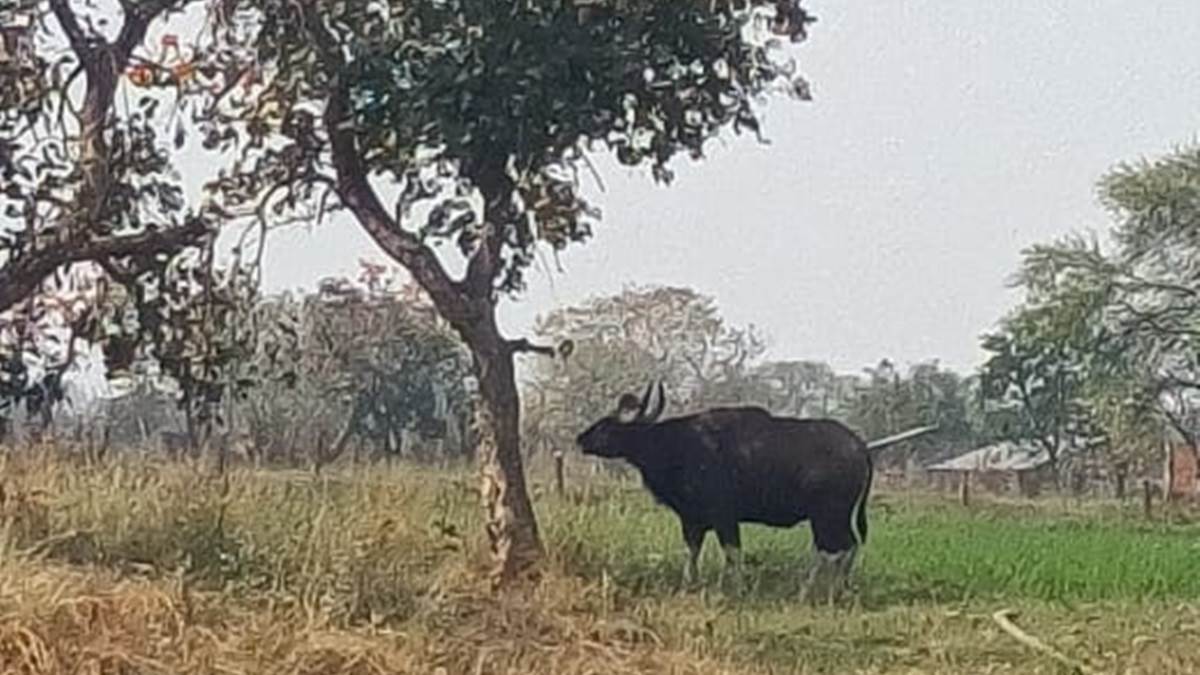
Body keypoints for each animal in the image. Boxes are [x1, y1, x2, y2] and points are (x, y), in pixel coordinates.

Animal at [575, 381, 934, 600]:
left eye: (608, 425)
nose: (581, 438)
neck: (676, 445)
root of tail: (860, 446)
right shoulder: (693, 519)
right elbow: (692, 552)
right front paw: (690, 584)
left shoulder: (724, 517)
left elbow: (733, 553)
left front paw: (734, 589)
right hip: (836, 516)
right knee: (847, 546)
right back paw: (837, 589)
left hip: (827, 515)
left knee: (835, 548)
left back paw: (812, 592)